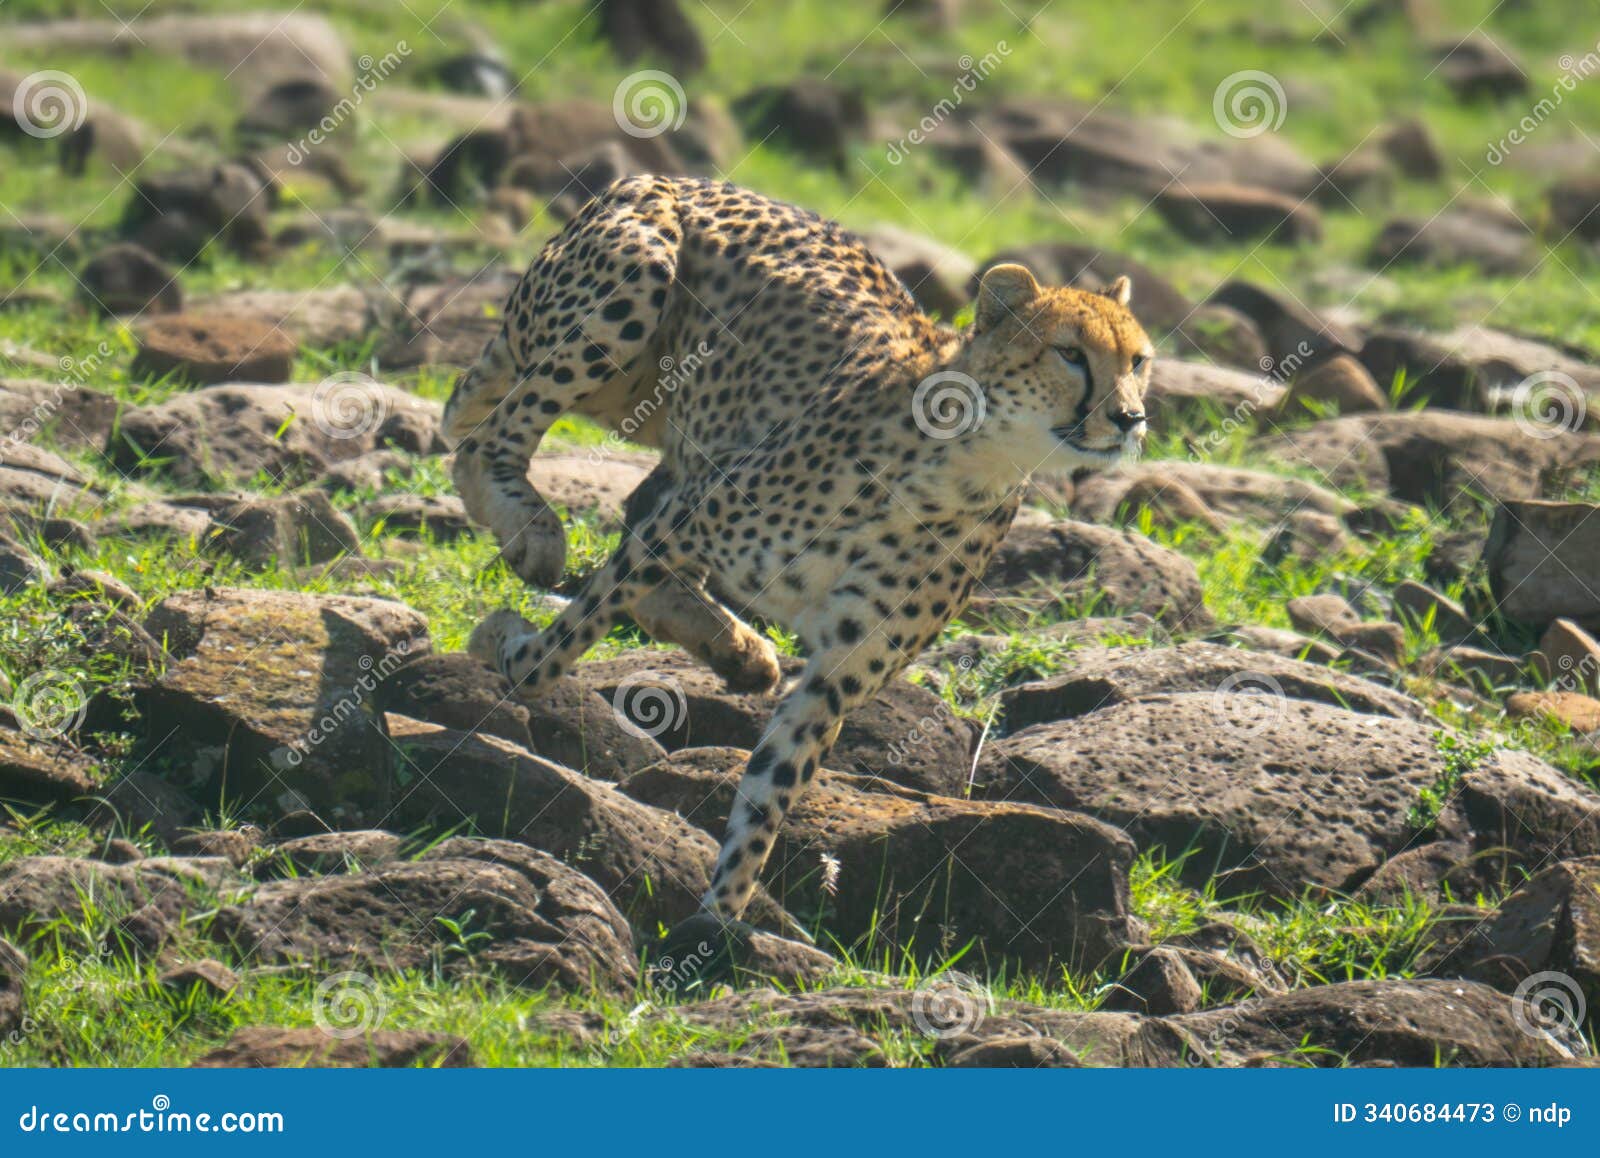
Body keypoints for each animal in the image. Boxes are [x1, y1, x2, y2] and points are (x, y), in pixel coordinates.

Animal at [445, 174, 1152, 927]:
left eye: (1138, 362)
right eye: (1070, 353)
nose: (1131, 417)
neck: (971, 462)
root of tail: (668, 178)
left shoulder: (835, 675)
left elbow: (772, 790)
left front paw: (720, 919)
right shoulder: (694, 517)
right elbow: (566, 641)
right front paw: (506, 643)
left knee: (614, 498)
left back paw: (738, 650)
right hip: (630, 299)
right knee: (481, 437)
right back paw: (532, 532)